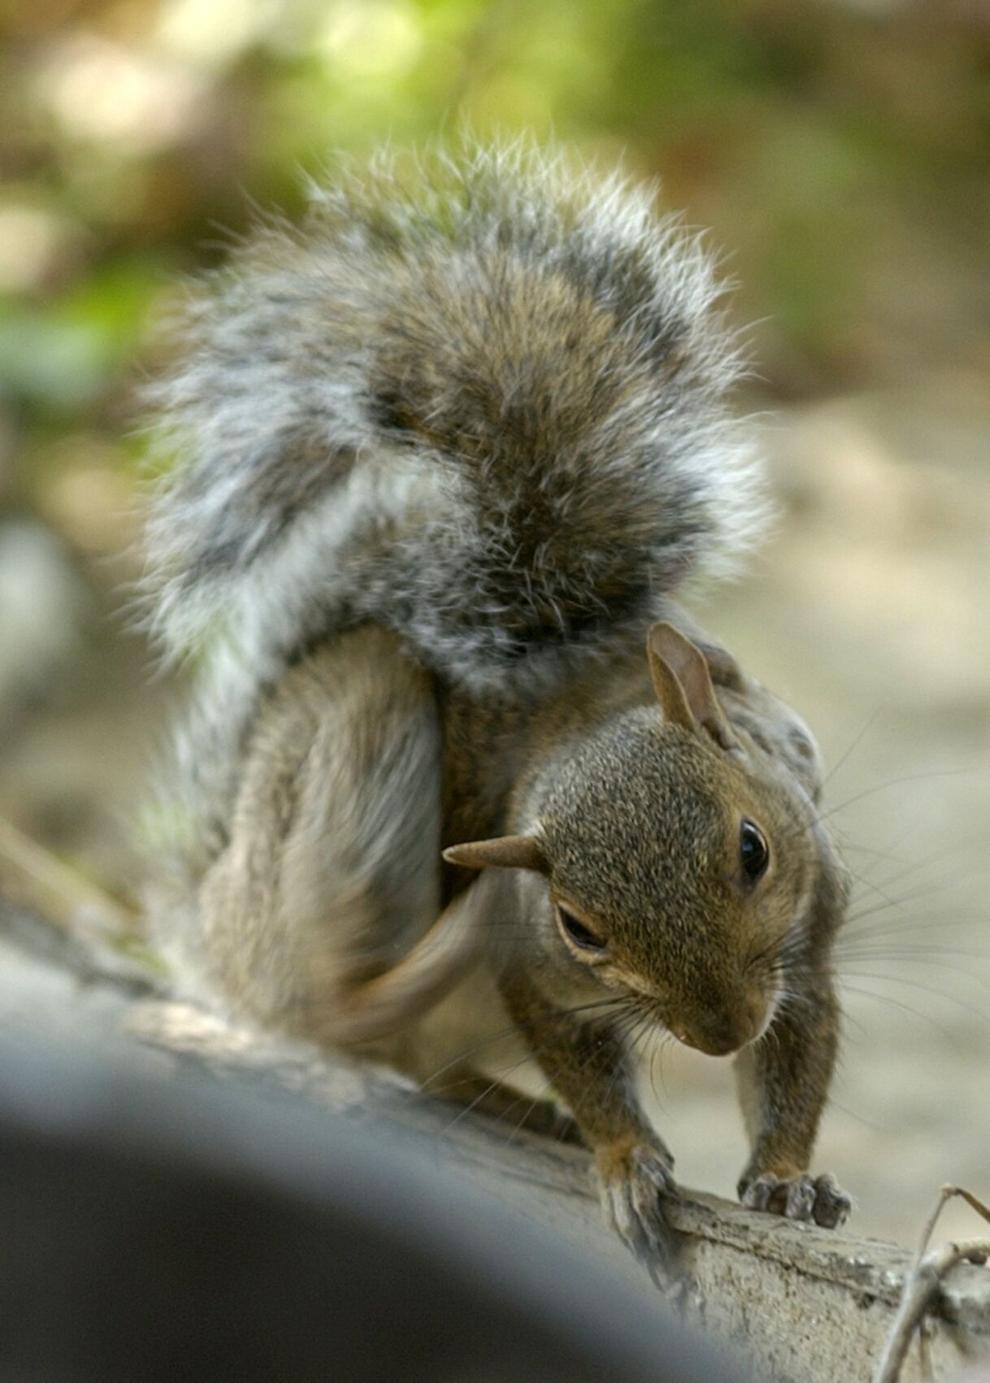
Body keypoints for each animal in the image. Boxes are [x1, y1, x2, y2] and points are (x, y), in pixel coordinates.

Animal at [142, 142, 852, 1273]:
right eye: (575, 925)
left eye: (754, 850)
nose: (718, 1035)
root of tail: (214, 934)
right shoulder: (539, 974)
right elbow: (575, 1054)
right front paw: (624, 1159)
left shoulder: (809, 929)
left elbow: (801, 1046)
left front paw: (786, 1177)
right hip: (354, 763)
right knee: (344, 1010)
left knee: (408, 1059)